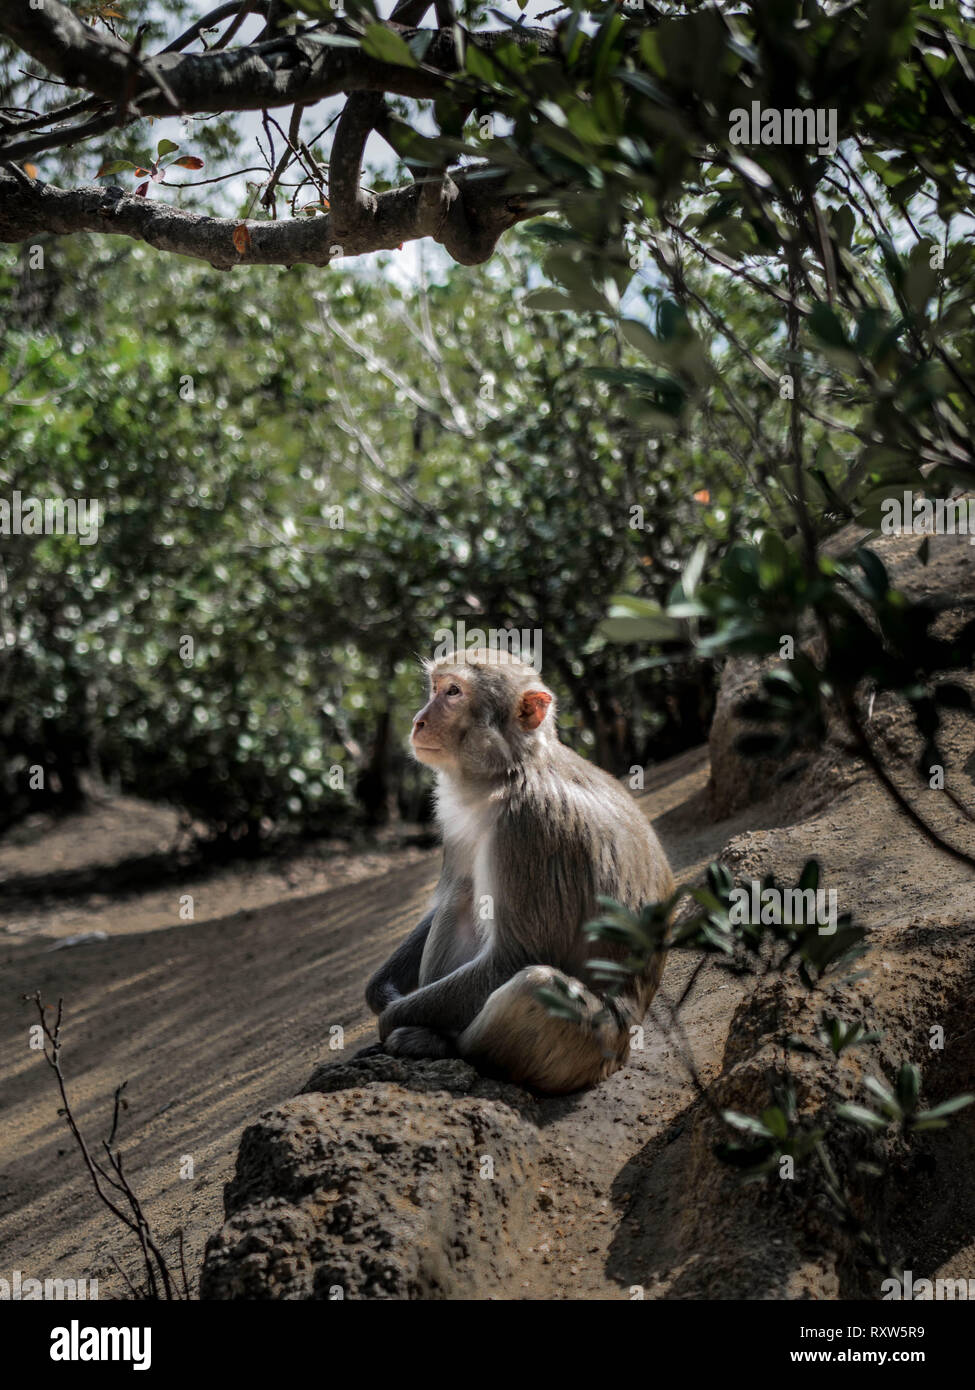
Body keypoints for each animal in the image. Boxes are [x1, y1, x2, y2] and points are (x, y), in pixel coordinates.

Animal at [364, 648, 675, 1095]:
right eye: (436, 688)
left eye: (453, 692)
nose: (418, 720)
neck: (510, 772)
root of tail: (626, 1046)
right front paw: (383, 991)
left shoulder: (530, 825)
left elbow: (516, 958)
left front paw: (392, 1018)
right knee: (462, 895)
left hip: (590, 1046)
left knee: (535, 985)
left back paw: (442, 1044)